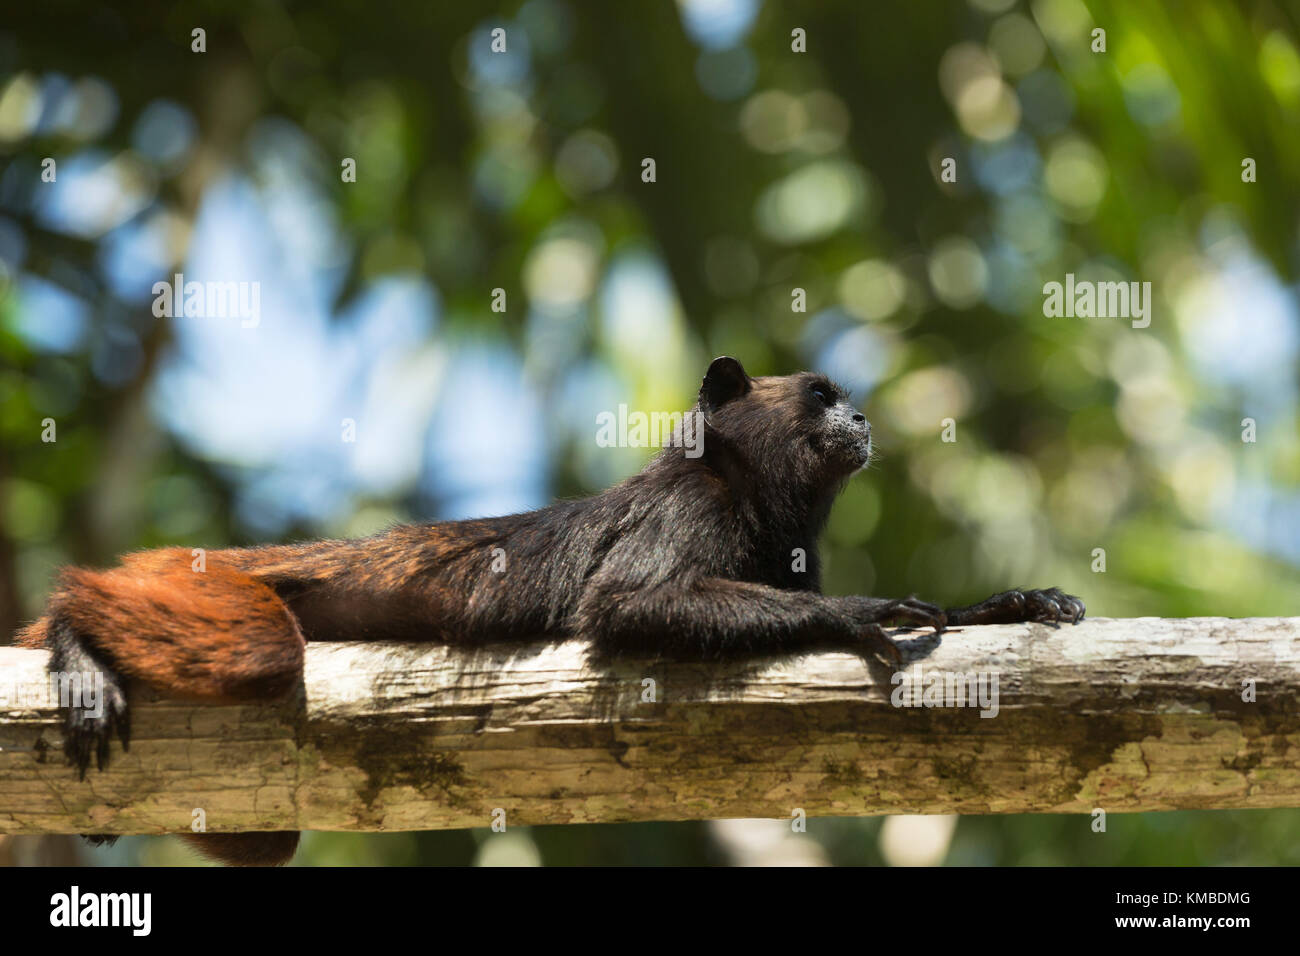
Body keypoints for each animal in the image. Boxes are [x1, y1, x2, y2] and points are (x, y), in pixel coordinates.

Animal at [16, 356, 1084, 866]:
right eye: (822, 398)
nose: (860, 418)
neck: (749, 490)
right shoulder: (685, 511)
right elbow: (629, 605)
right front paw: (871, 614)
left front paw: (1010, 601)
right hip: (206, 584)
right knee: (257, 646)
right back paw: (74, 631)